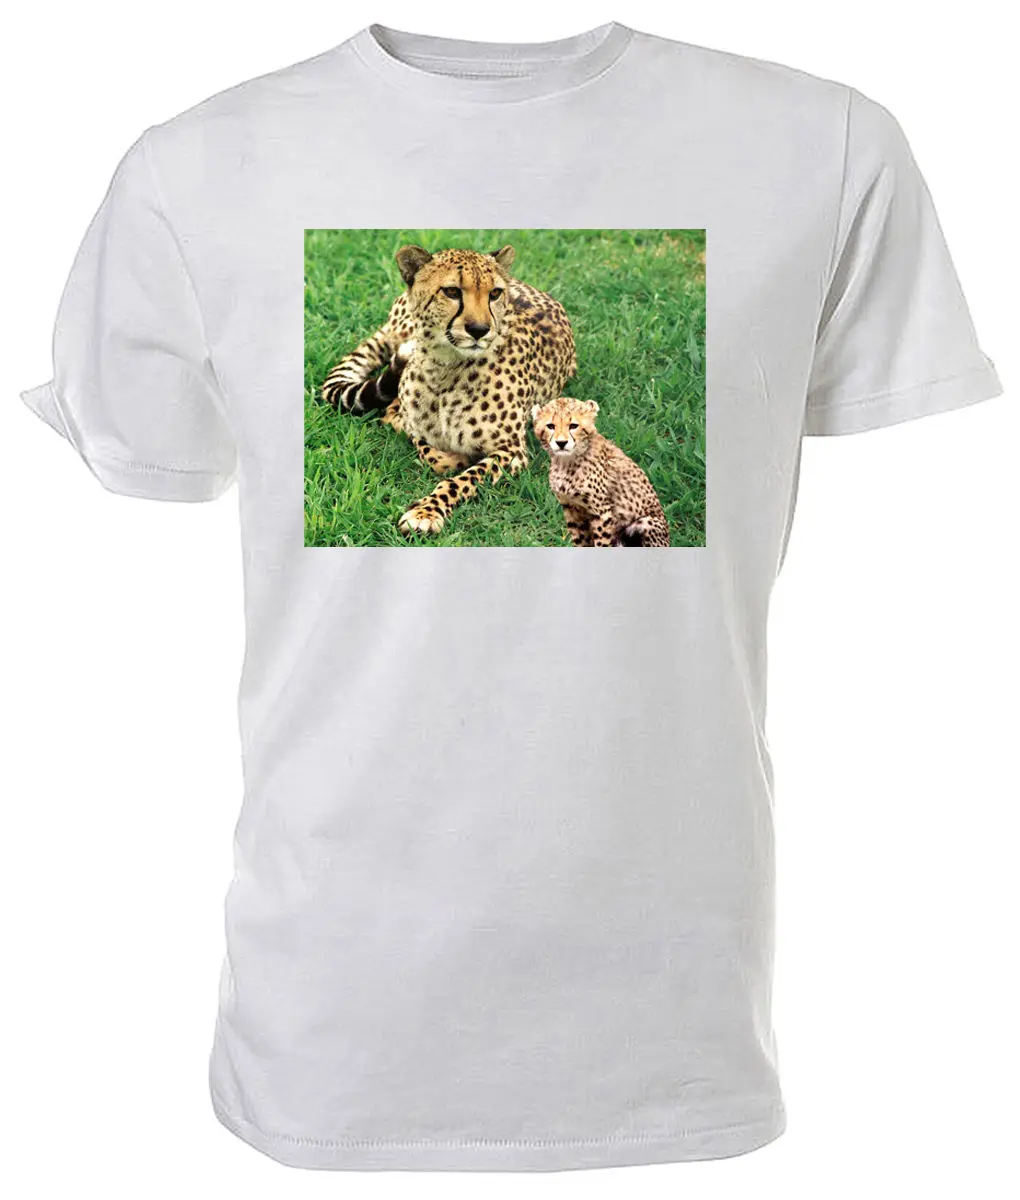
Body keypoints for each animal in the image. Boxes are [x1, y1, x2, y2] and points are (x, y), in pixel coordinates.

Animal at [321, 244, 576, 536]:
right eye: (452, 291)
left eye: (495, 293)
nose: (479, 329)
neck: (446, 369)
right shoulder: (417, 425)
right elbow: (433, 454)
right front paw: (449, 460)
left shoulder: (512, 450)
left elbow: (461, 480)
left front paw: (425, 512)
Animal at [532, 397, 671, 548]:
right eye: (550, 426)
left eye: (573, 426)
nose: (561, 443)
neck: (567, 462)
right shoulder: (571, 509)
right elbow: (580, 541)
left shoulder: (601, 512)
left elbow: (602, 543)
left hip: (646, 522)